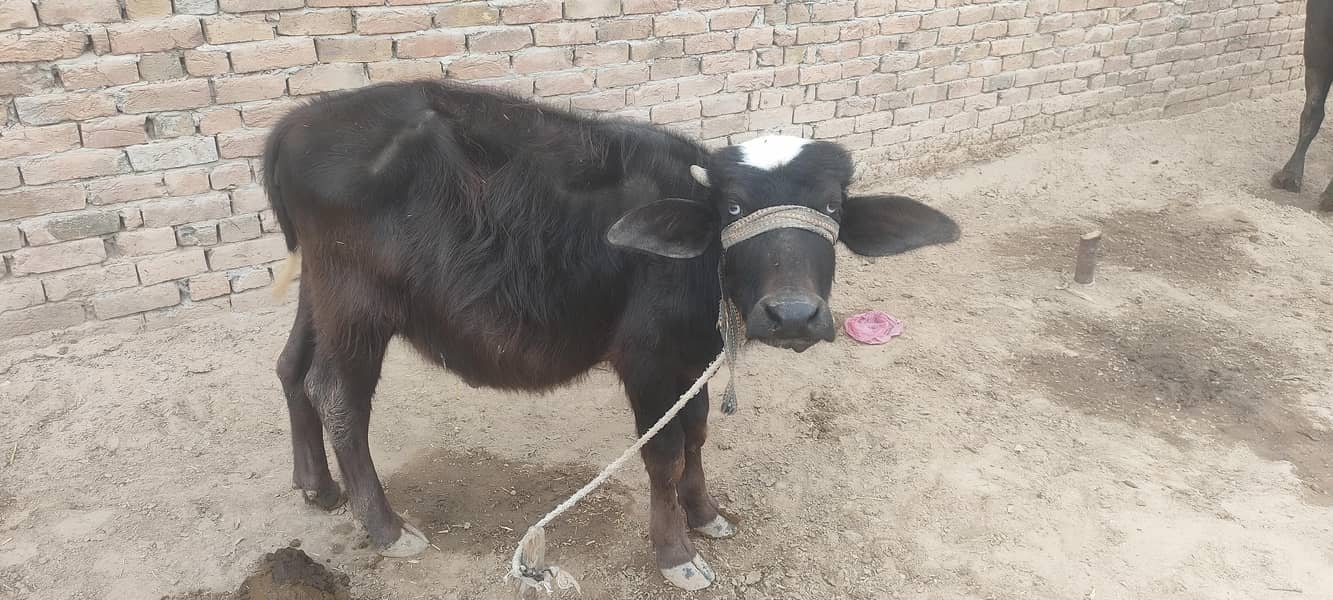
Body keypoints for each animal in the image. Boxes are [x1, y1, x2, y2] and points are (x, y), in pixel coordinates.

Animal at [262, 79, 959, 590]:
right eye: (733, 206)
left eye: (833, 208)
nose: (792, 315)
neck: (702, 267)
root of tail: (296, 125)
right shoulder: (648, 362)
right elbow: (664, 452)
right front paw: (676, 553)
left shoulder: (692, 359)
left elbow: (697, 433)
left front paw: (705, 515)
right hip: (357, 305)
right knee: (339, 396)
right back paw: (386, 527)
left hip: (316, 291)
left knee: (292, 368)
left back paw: (318, 487)